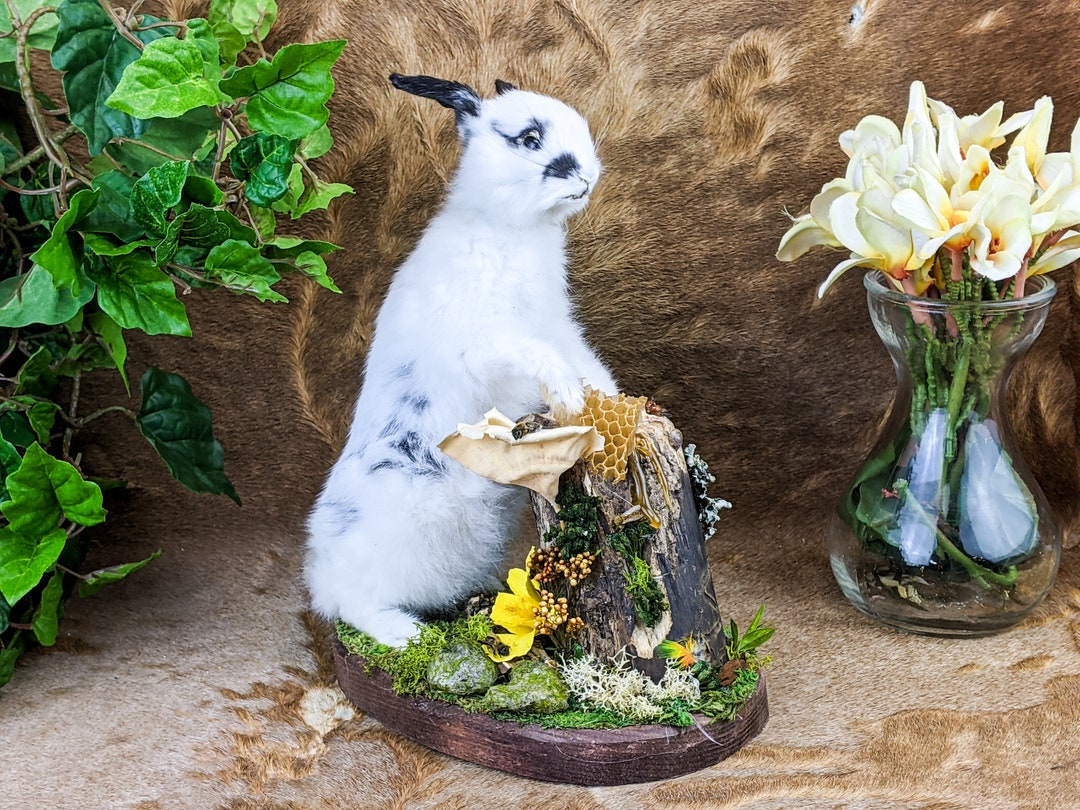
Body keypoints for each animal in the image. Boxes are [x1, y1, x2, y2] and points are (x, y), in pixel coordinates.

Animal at [305, 74, 617, 647]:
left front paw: (610, 402)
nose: (585, 175)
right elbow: (538, 355)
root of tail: (320, 569)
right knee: (354, 603)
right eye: (530, 139)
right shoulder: (490, 343)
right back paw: (403, 633)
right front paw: (565, 394)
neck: (509, 228)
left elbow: (587, 363)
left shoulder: (558, 326)